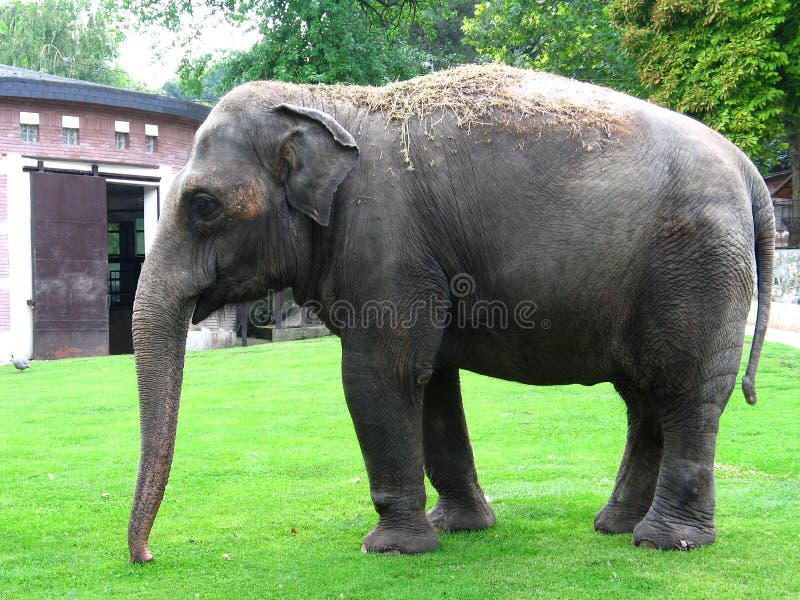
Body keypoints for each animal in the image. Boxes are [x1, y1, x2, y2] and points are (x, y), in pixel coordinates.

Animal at [128, 64, 773, 562]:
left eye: (203, 205)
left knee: (685, 390)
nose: (148, 556)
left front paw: (390, 548)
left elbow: (379, 376)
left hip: (695, 267)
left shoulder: (386, 244)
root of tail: (747, 170)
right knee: (644, 397)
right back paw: (615, 526)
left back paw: (666, 542)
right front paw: (459, 528)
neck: (326, 101)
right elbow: (433, 382)